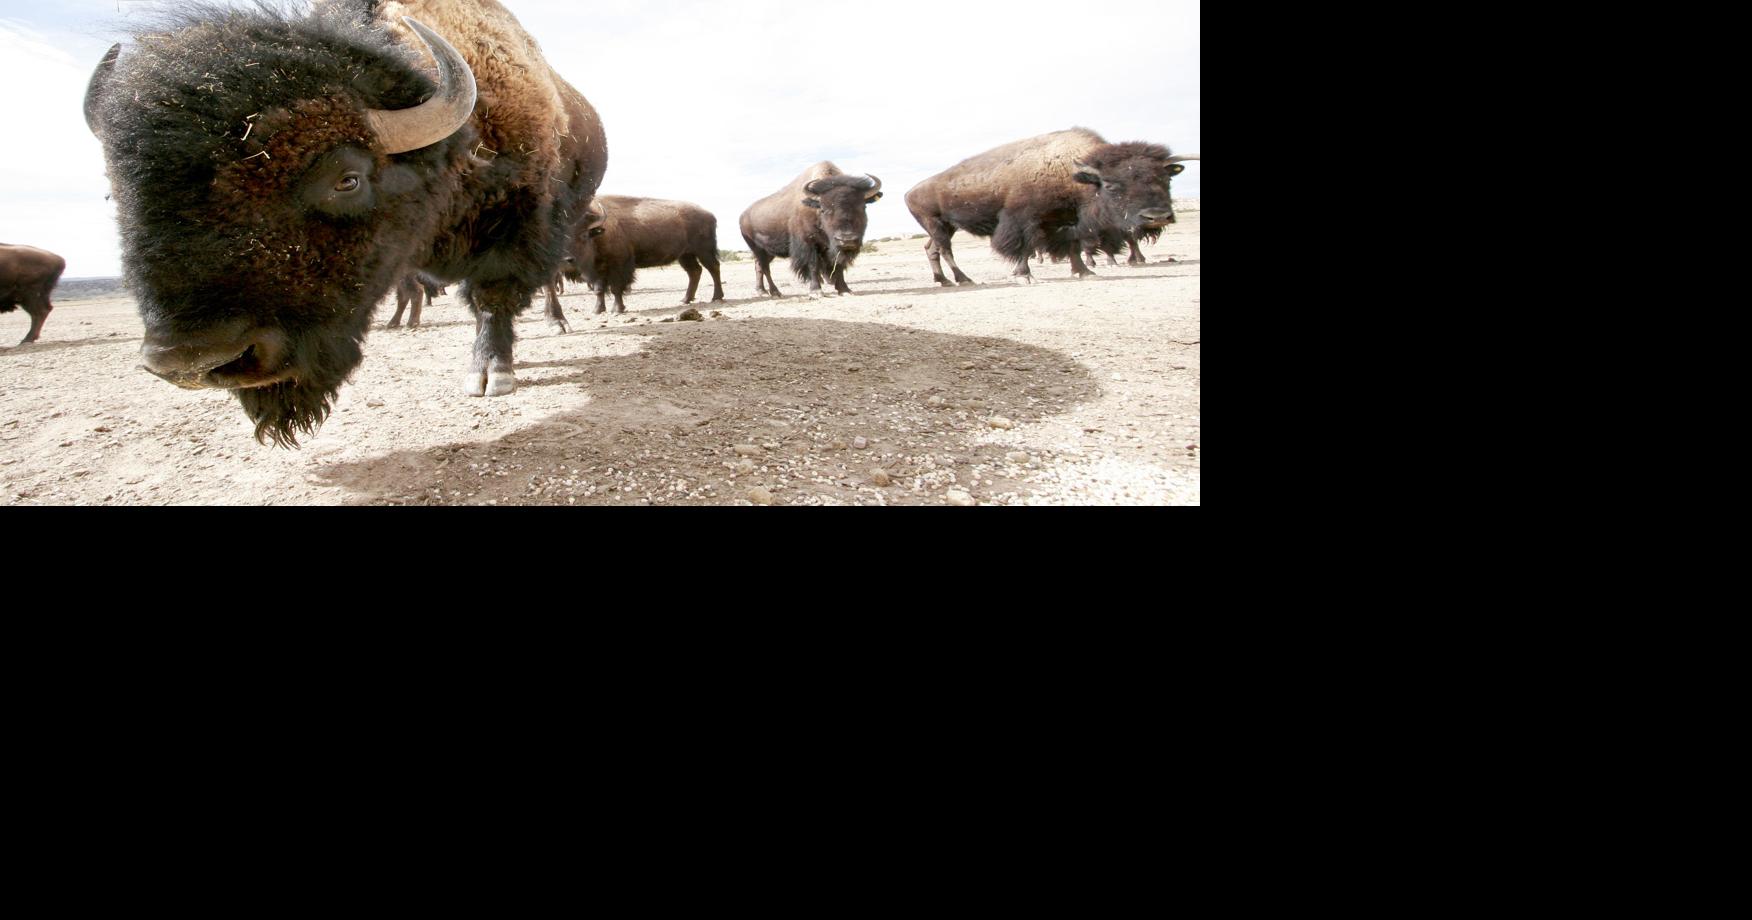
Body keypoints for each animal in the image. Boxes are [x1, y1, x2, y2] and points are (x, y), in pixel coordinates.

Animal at [83, 0, 608, 446]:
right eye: (114, 192)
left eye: (347, 179)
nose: (189, 360)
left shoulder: (520, 231)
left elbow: (491, 301)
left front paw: (490, 375)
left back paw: (555, 324)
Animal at [740, 164, 883, 299]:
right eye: (823, 209)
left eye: (863, 207)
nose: (847, 239)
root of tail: (743, 216)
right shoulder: (808, 243)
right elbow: (813, 266)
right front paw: (816, 291)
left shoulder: (832, 248)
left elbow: (838, 266)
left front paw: (844, 290)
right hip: (758, 249)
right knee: (765, 268)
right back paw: (775, 292)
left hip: (768, 252)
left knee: (759, 267)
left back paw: (762, 291)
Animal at [904, 128, 1196, 285]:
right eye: (1111, 185)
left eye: (1166, 178)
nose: (1156, 216)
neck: (1071, 173)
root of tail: (910, 192)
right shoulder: (1024, 220)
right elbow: (1024, 247)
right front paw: (1024, 276)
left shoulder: (1065, 221)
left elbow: (1073, 246)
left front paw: (1085, 272)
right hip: (937, 224)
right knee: (945, 250)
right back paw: (963, 279)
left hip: (946, 227)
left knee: (932, 249)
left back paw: (943, 280)